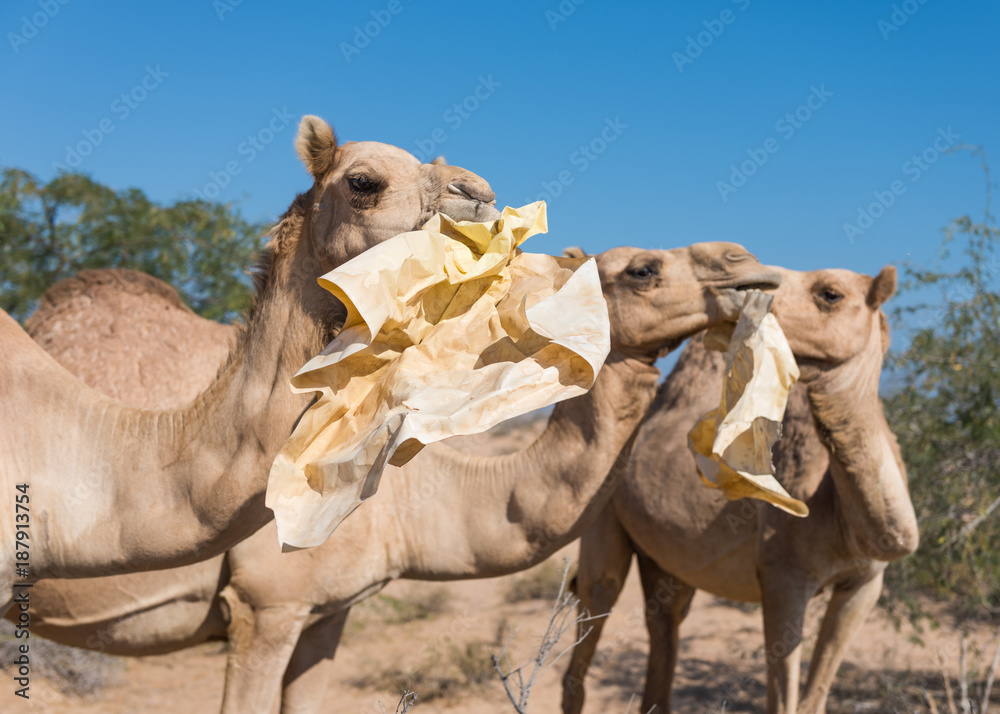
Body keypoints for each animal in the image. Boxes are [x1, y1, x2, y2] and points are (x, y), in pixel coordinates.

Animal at [561, 265, 921, 714]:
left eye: (830, 293)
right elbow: (783, 699)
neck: (843, 513)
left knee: (663, 621)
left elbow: (815, 696)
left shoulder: (865, 585)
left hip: (665, 562)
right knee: (597, 599)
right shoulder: (783, 577)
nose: (753, 290)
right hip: (599, 513)